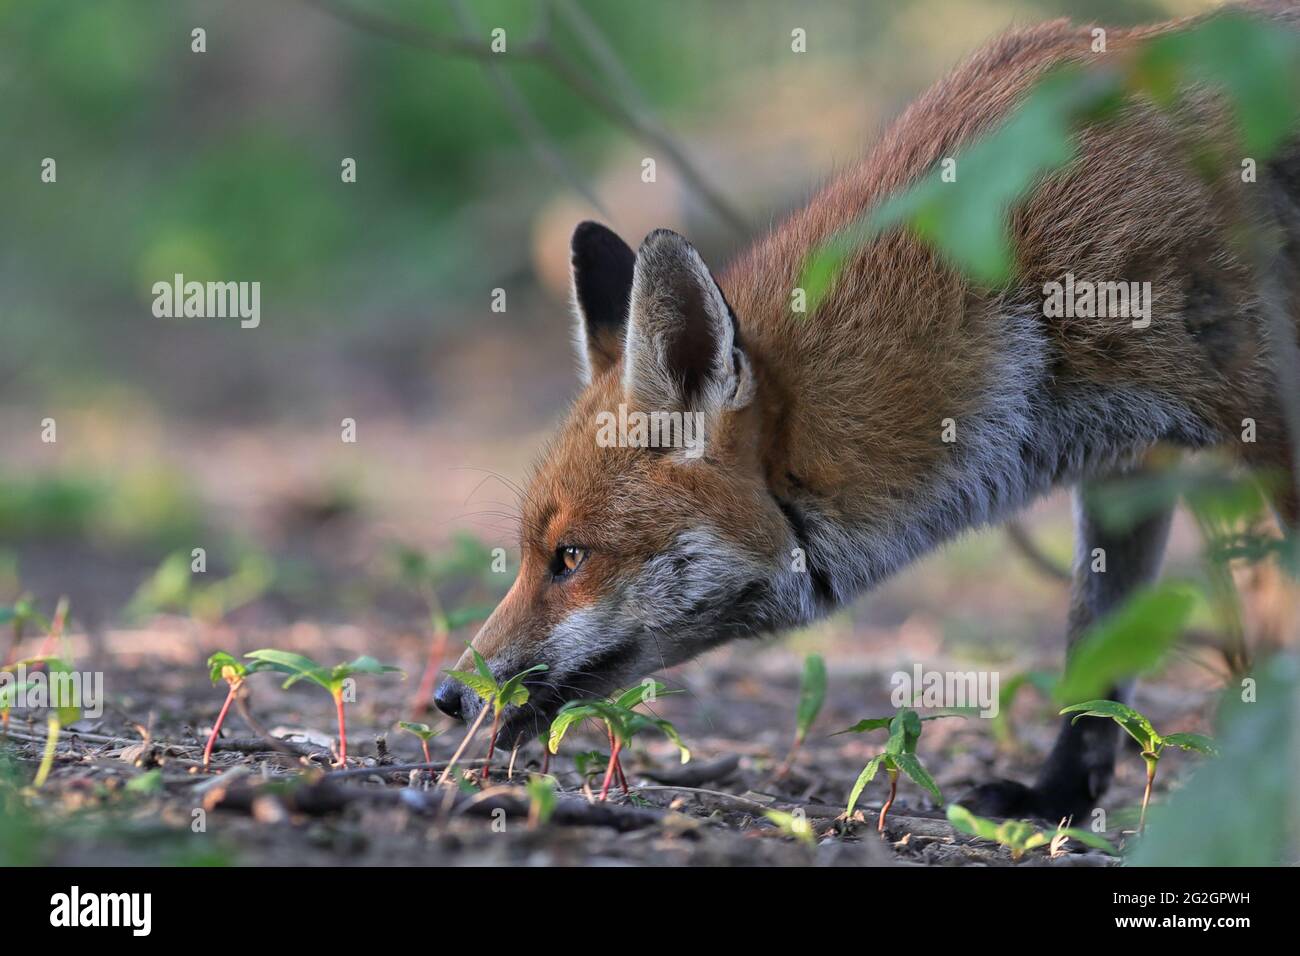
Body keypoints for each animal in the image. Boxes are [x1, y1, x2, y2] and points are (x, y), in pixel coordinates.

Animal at [435, 1, 1300, 821]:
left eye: (570, 557)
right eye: (533, 554)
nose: (447, 696)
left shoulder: (1266, 422)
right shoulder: (1127, 467)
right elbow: (1098, 654)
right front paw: (1056, 800)